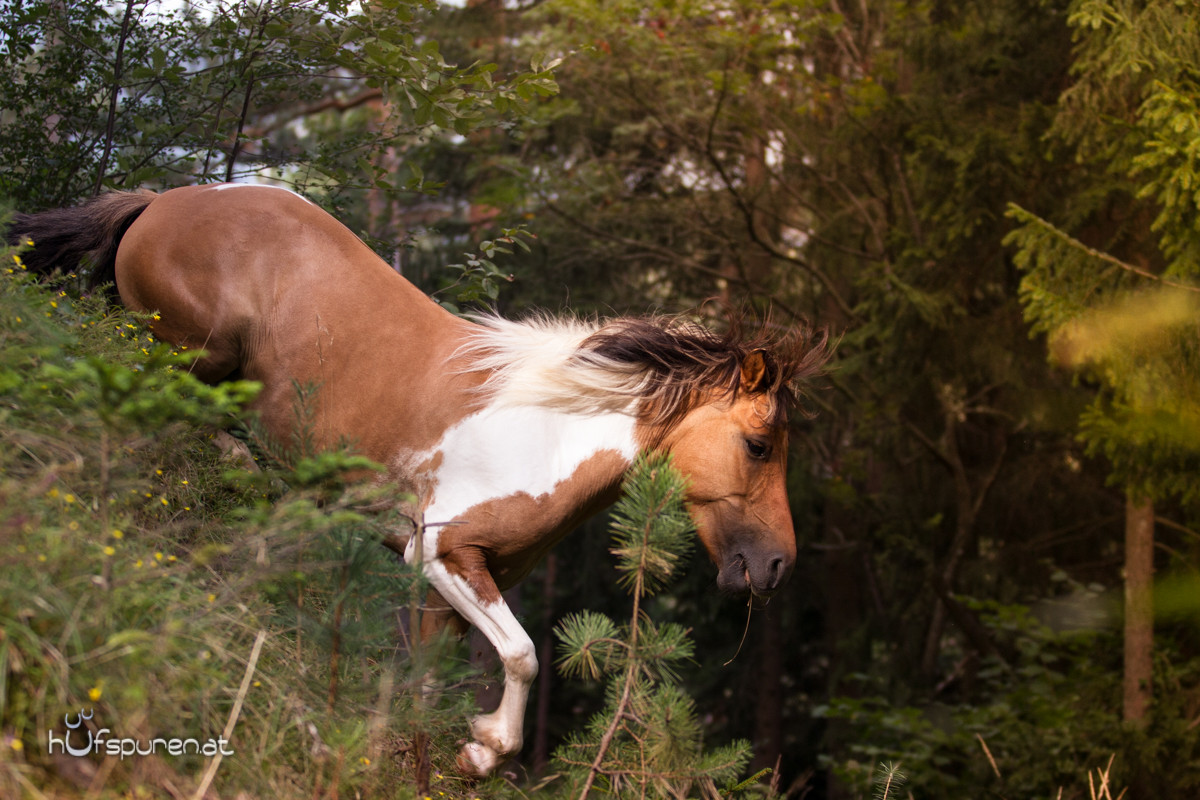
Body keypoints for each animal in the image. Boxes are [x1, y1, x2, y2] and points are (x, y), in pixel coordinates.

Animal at [8, 183, 827, 776]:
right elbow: (522, 654)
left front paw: (435, 756)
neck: (546, 429)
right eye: (759, 445)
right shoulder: (439, 553)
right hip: (188, 356)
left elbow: (429, 680)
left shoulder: (457, 583)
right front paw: (486, 746)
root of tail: (160, 199)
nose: (776, 566)